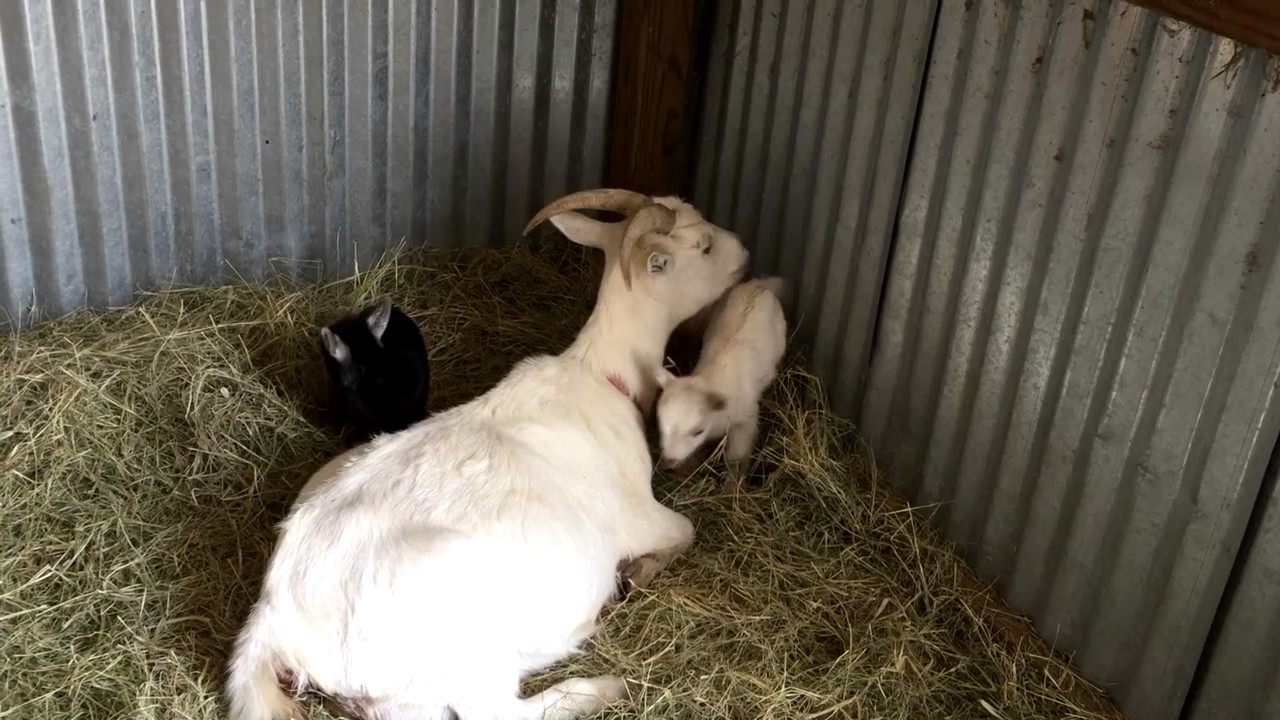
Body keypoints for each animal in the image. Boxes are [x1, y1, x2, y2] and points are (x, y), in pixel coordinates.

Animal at [225, 188, 750, 720]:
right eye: (704, 246)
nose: (745, 253)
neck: (599, 373)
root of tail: (277, 619)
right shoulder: (638, 516)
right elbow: (685, 528)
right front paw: (638, 571)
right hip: (465, 645)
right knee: (501, 710)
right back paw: (601, 688)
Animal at [655, 276, 787, 490]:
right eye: (660, 422)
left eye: (698, 431)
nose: (668, 462)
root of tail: (760, 285)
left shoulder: (746, 420)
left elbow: (736, 458)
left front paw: (733, 486)